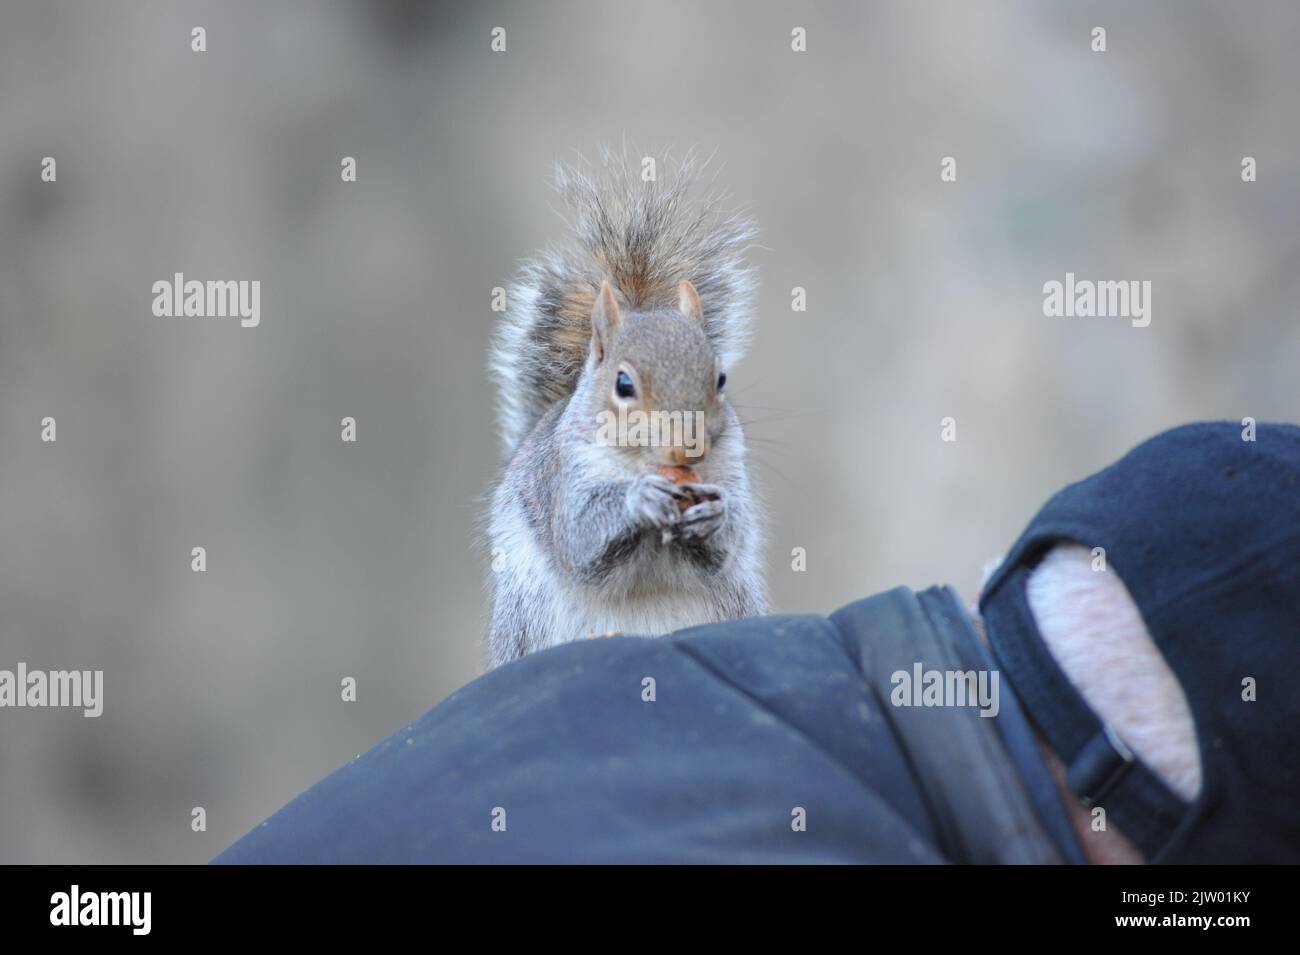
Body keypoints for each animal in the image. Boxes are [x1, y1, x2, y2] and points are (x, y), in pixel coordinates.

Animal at [485, 150, 767, 668]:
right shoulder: (564, 476)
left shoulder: (731, 469)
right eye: (623, 384)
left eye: (720, 379)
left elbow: (727, 540)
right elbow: (581, 535)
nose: (688, 448)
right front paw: (640, 498)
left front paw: (714, 515)